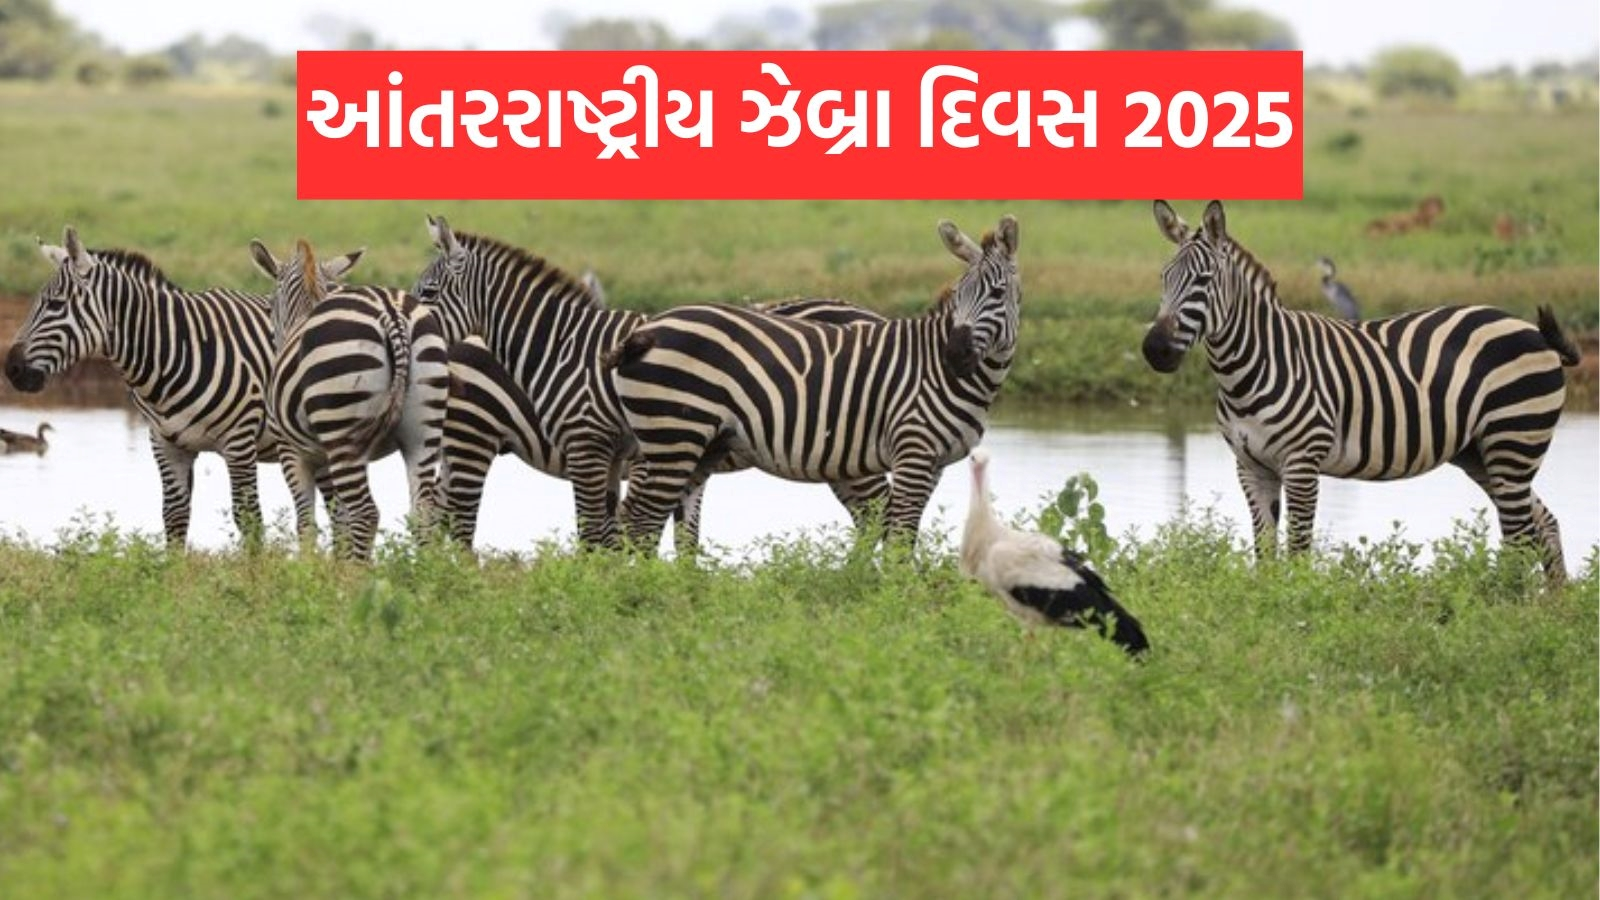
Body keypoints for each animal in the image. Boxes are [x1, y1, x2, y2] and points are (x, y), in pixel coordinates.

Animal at [3, 226, 354, 548]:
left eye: (55, 305)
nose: (11, 369)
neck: (176, 354)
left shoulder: (240, 443)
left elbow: (248, 518)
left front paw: (256, 572)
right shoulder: (166, 444)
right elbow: (174, 518)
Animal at [252, 239, 450, 559]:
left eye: (270, 308)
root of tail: (391, 313)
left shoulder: (293, 451)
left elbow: (308, 522)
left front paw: (311, 568)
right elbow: (338, 520)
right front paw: (336, 563)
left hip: (342, 430)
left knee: (365, 513)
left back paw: (357, 574)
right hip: (423, 430)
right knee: (422, 511)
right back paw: (426, 571)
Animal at [413, 218, 891, 551]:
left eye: (428, 294)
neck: (561, 342)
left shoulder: (607, 447)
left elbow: (620, 534)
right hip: (472, 436)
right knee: (441, 515)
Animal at [608, 214, 1021, 551]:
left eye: (997, 293)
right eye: (957, 293)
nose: (955, 355)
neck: (935, 372)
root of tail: (645, 331)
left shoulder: (930, 462)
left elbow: (902, 536)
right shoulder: (914, 452)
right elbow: (900, 539)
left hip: (697, 443)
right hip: (674, 436)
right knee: (640, 521)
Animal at [1142, 200, 1579, 584]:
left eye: (1203, 280)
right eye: (1163, 277)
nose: (1154, 349)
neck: (1250, 371)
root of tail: (1532, 330)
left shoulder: (1302, 463)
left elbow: (1298, 551)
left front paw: (1295, 607)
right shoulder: (1251, 466)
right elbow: (1264, 553)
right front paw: (1264, 603)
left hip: (1513, 441)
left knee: (1520, 535)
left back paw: (1508, 603)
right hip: (1483, 454)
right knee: (1544, 523)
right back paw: (1551, 606)